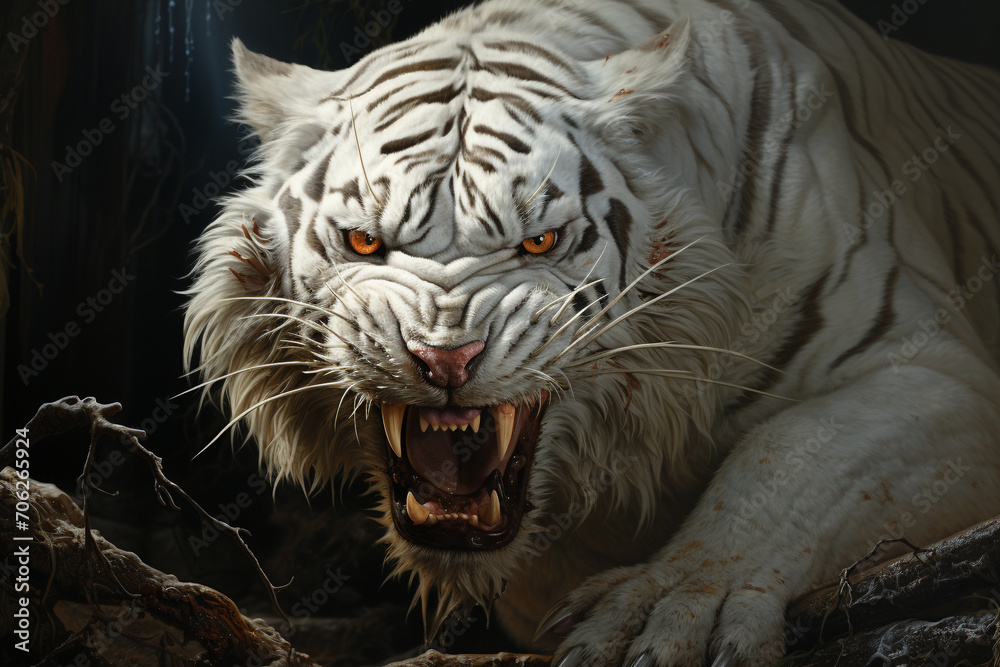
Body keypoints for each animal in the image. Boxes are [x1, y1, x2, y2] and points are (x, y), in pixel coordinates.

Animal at [182, 0, 1000, 665]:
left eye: (540, 242)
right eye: (363, 242)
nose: (444, 359)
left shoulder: (939, 376)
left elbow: (789, 456)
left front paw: (670, 609)